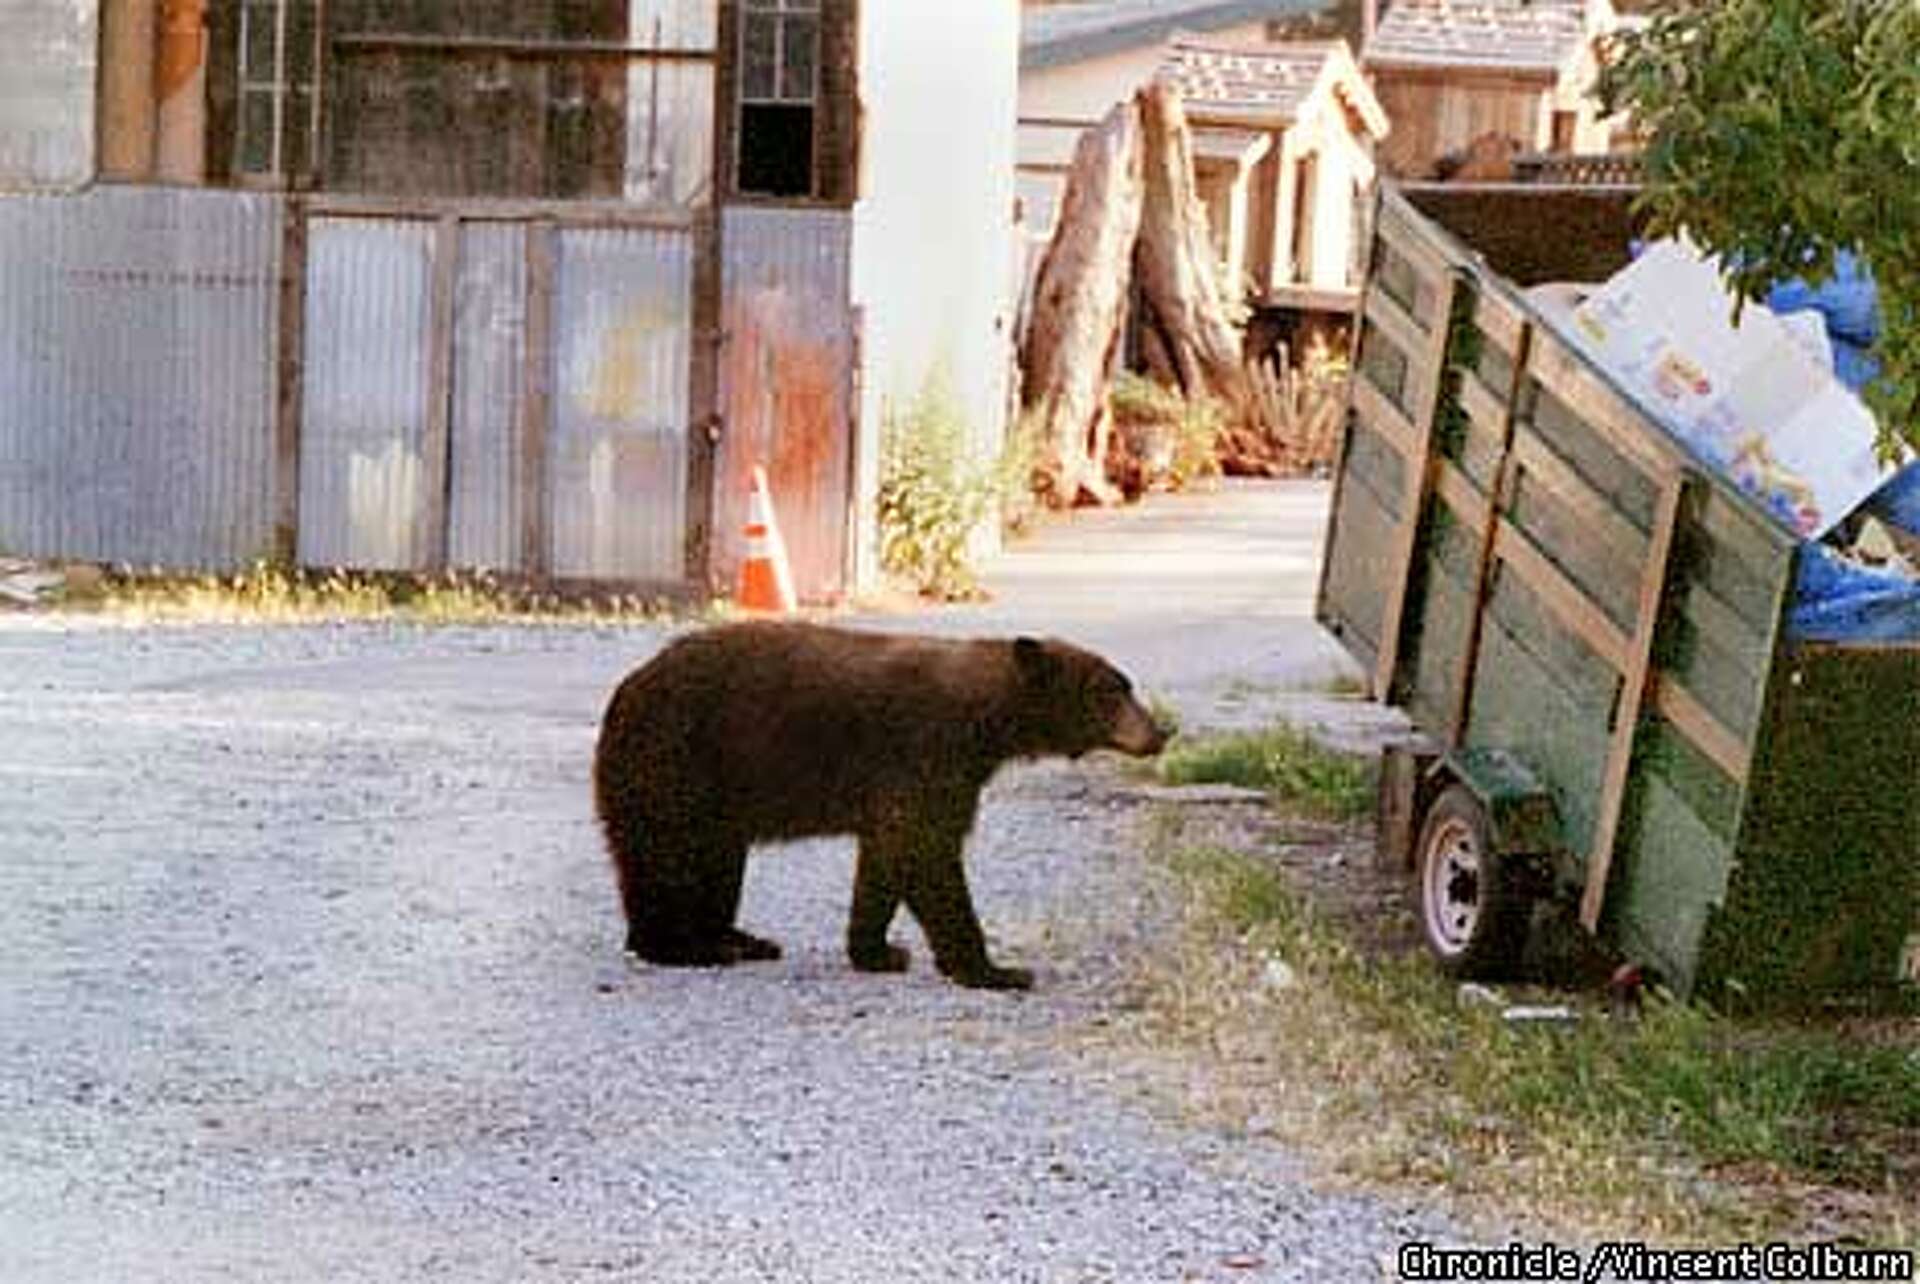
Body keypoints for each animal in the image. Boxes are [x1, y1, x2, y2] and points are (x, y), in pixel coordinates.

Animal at [592, 621, 1169, 990]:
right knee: (668, 859)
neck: (983, 719)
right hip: (678, 764)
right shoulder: (926, 752)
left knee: (718, 862)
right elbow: (926, 851)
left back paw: (740, 938)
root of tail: (625, 691)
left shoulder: (924, 776)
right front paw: (996, 970)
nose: (1161, 731)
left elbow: (884, 857)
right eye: (1113, 690)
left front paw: (879, 951)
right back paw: (686, 948)